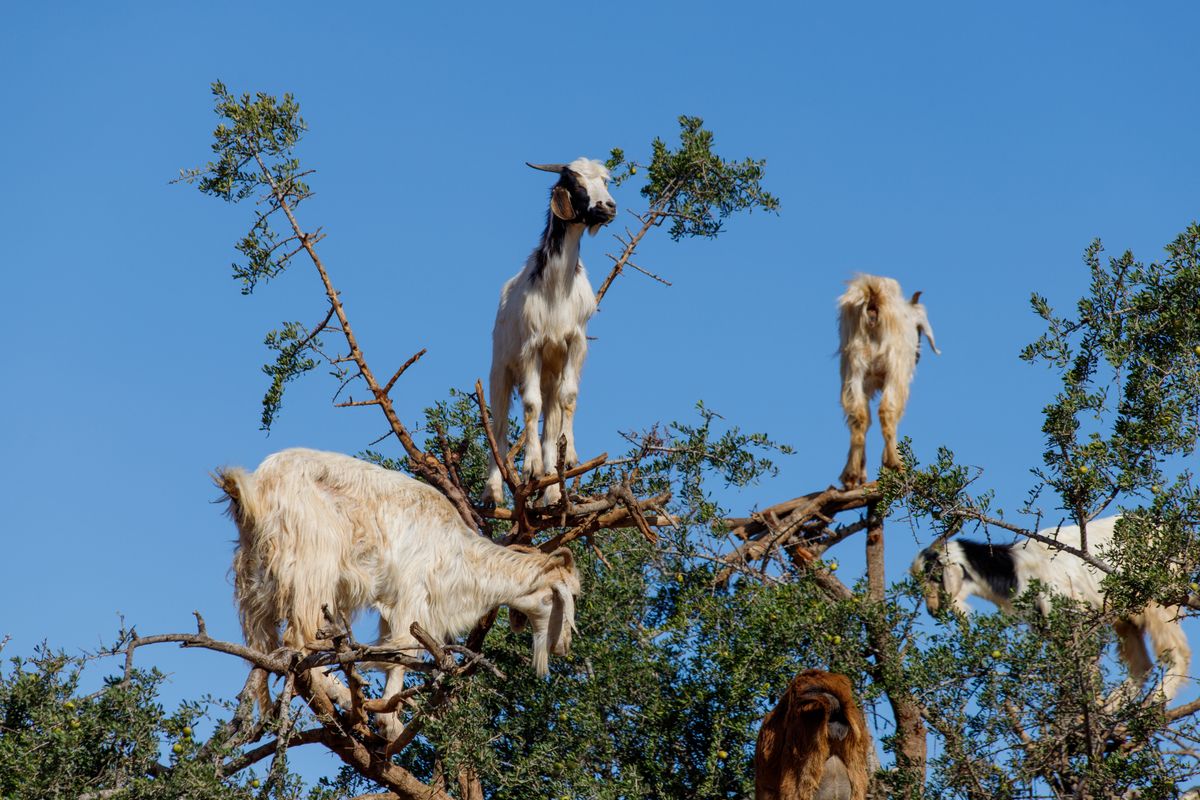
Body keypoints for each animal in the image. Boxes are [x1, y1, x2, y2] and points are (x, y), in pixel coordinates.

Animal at [217, 448, 581, 737]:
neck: (460, 553)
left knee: (263, 646)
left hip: (254, 579)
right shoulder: (413, 593)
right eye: (569, 596)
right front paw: (390, 723)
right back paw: (340, 693)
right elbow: (402, 650)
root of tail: (256, 490)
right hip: (313, 565)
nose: (563, 646)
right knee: (299, 638)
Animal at [483, 158, 617, 506]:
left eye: (606, 182)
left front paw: (567, 459)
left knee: (551, 418)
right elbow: (531, 405)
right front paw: (530, 466)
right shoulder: (531, 346)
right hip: (500, 369)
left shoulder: (575, 342)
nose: (609, 207)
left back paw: (553, 490)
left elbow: (569, 399)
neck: (556, 288)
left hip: (551, 373)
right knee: (499, 425)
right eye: (577, 183)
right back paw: (494, 492)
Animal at [837, 274, 939, 488]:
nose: (917, 356)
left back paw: (851, 474)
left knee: (857, 414)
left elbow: (862, 417)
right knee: (887, 410)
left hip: (854, 366)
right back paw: (895, 463)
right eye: (919, 329)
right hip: (895, 367)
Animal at [912, 515, 1191, 701]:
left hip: (1157, 600)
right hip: (1125, 616)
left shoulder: (1072, 617)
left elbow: (1087, 671)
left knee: (1177, 654)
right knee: (1141, 666)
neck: (1014, 570)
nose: (933, 610)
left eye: (934, 574)